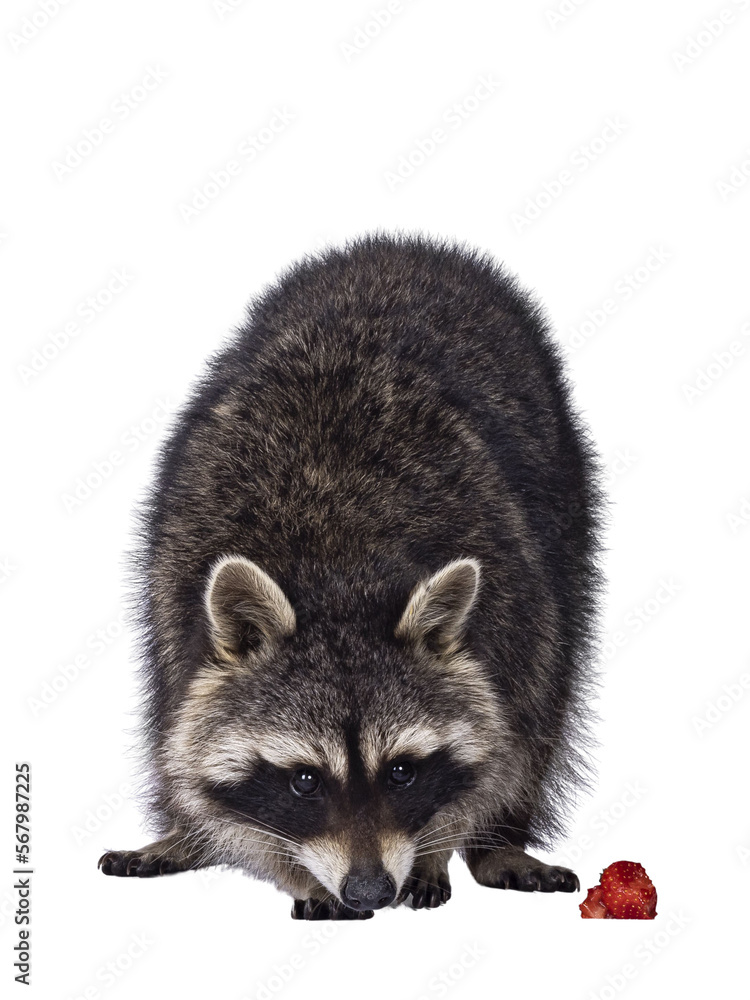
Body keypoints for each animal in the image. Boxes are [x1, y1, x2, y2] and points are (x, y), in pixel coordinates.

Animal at [99, 233, 602, 919]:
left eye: (402, 771)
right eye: (305, 780)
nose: (370, 889)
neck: (337, 576)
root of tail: (402, 248)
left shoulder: (512, 599)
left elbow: (504, 740)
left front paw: (439, 845)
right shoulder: (180, 594)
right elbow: (195, 762)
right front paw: (290, 868)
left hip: (566, 506)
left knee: (552, 687)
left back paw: (501, 841)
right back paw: (183, 834)